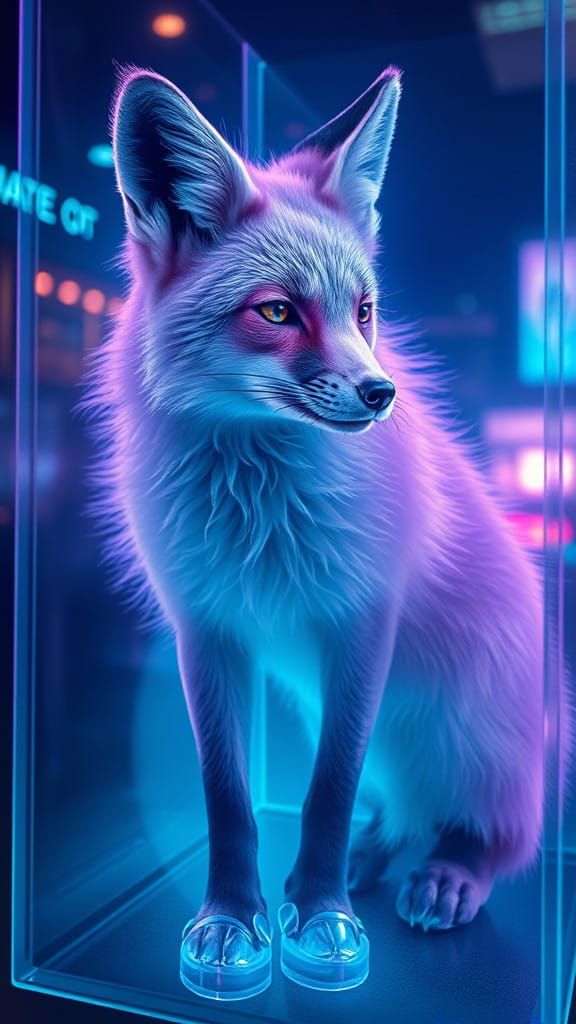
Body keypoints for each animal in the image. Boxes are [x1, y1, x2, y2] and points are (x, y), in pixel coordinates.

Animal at [82, 65, 569, 998]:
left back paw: (447, 871)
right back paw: (378, 855)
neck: (257, 502)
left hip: (470, 739)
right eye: (277, 313)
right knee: (400, 810)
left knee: (496, 832)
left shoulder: (362, 622)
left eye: (365, 309)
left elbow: (325, 796)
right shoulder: (206, 628)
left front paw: (321, 917)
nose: (382, 394)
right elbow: (230, 800)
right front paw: (232, 921)